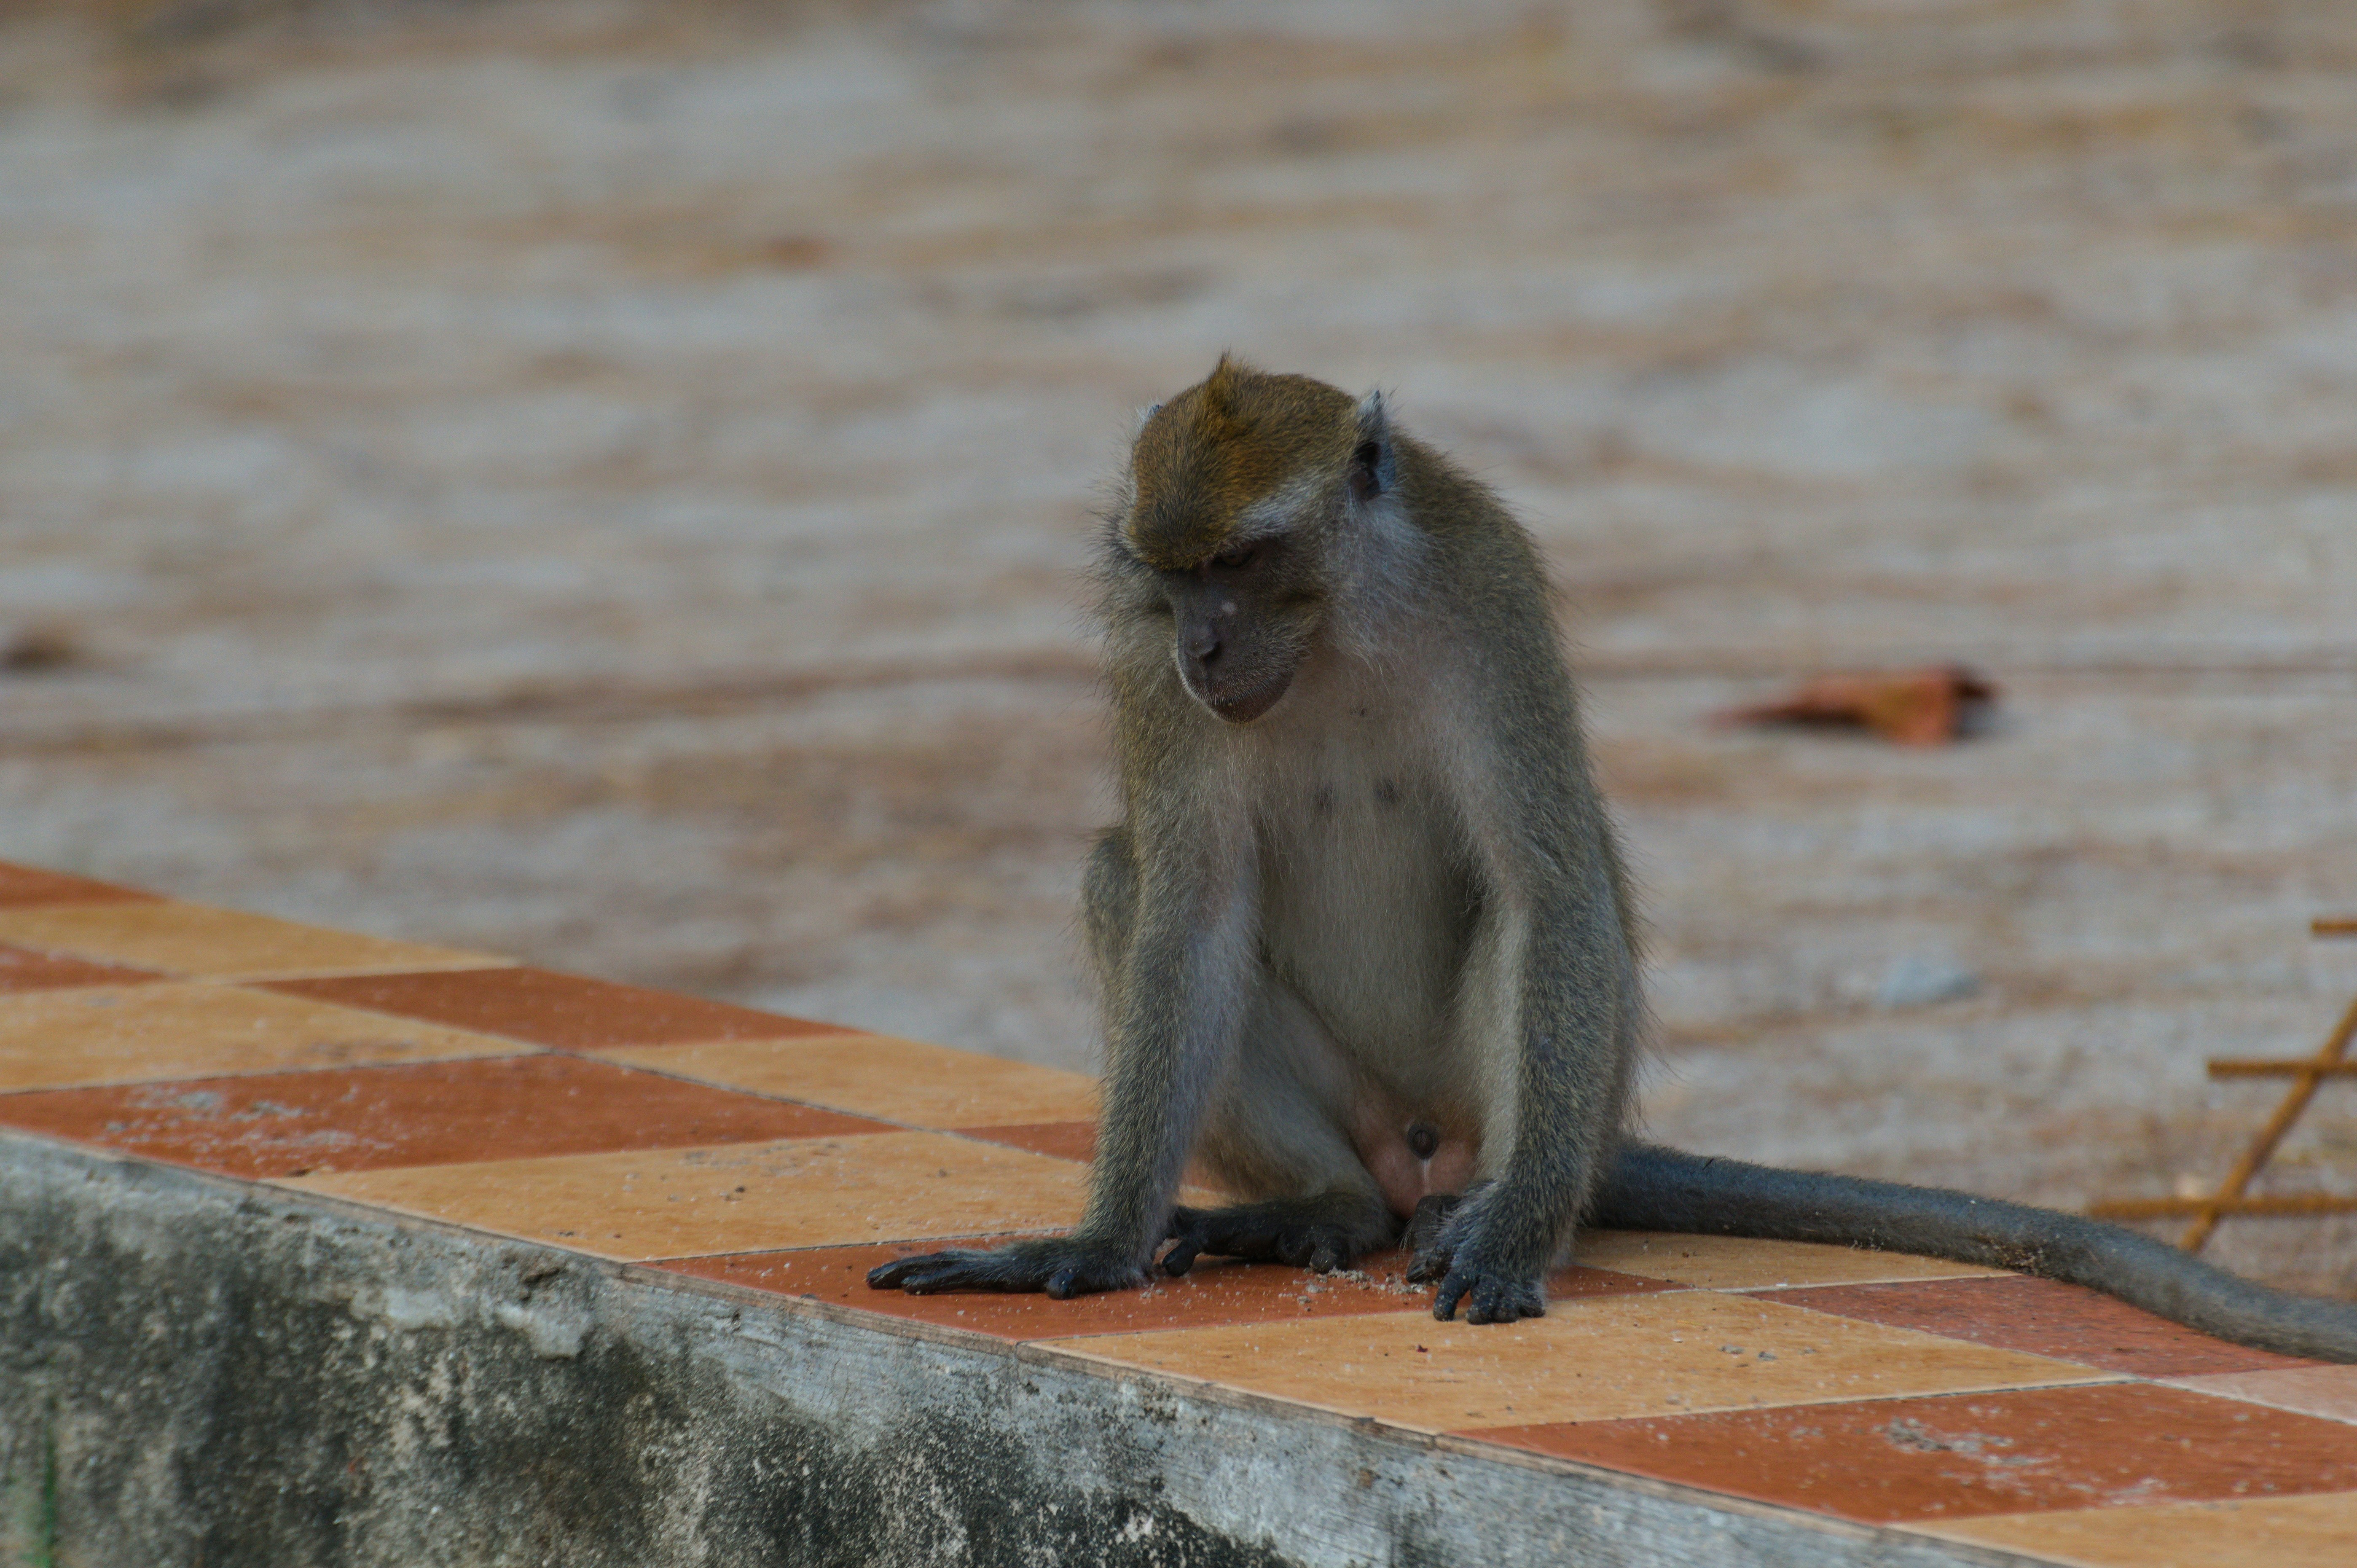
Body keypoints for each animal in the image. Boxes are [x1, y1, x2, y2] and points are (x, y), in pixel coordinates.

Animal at [871, 357, 2357, 1360]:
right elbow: (1187, 918)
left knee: (1523, 922)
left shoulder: (1487, 591)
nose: (1204, 648)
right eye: (1172, 577)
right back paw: (1324, 1209)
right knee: (1123, 882)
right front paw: (1094, 1243)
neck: (1335, 634)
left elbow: (1544, 886)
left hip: (1517, 1104)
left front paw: (1518, 1234)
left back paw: (1497, 1207)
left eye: (1243, 558)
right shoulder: (1148, 681)